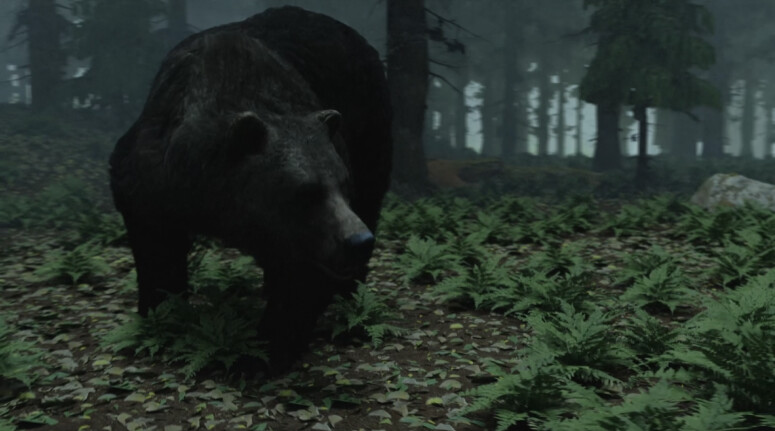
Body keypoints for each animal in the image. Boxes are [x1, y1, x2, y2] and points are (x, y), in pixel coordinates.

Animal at [109, 6, 392, 371]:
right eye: (307, 191)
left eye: (342, 185)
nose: (357, 241)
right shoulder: (152, 181)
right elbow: (156, 249)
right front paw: (161, 313)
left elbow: (304, 278)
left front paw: (265, 348)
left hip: (369, 122)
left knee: (372, 193)